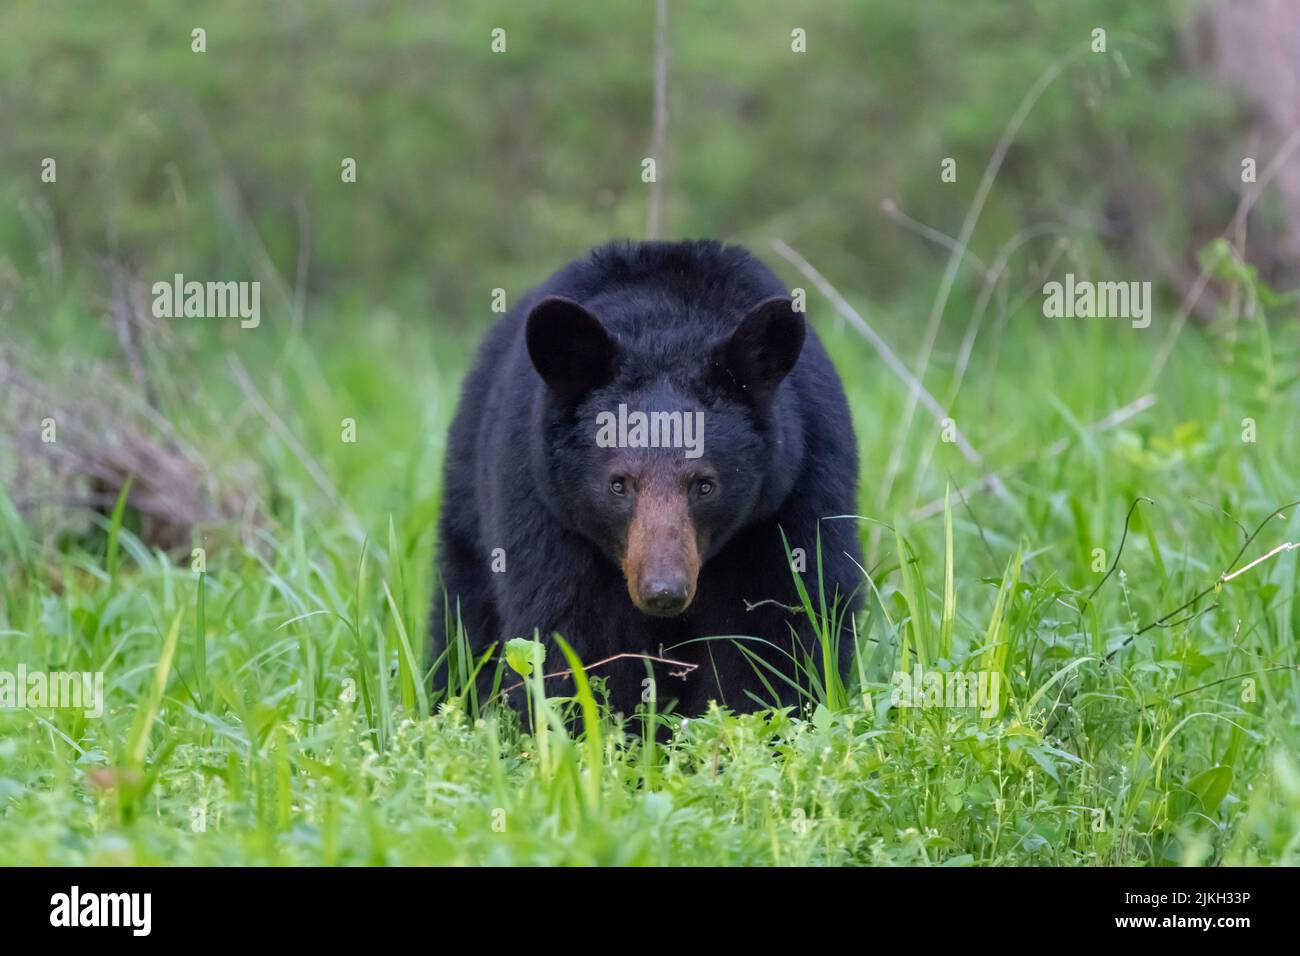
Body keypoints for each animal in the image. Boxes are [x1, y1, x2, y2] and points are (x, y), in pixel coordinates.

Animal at [431, 239, 863, 719]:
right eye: (618, 483)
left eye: (705, 484)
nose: (663, 591)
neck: (665, 330)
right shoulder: (543, 502)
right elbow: (572, 629)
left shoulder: (796, 490)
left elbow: (780, 618)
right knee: (464, 606)